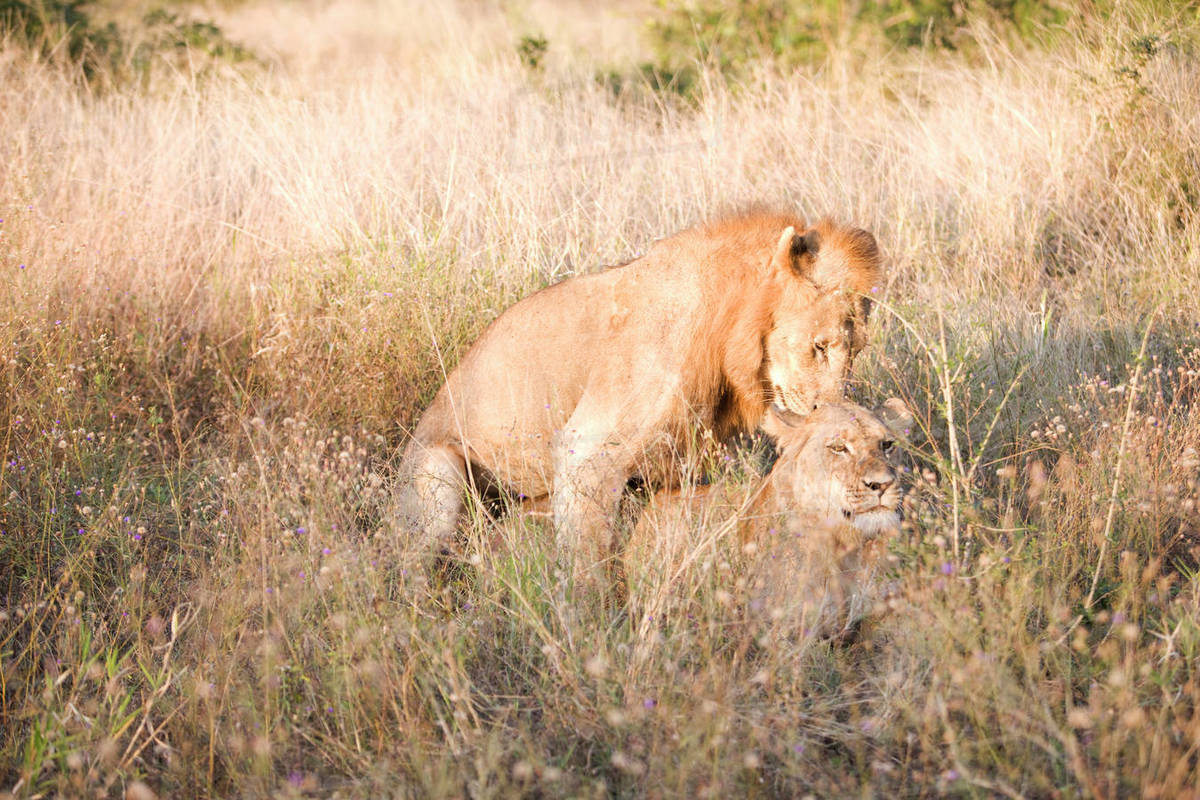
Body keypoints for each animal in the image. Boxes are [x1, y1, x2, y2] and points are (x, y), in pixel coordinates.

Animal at [398, 212, 882, 586]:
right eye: (820, 346)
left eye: (858, 351)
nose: (837, 415)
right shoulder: (586, 453)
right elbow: (586, 567)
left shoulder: (683, 465)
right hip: (437, 475)